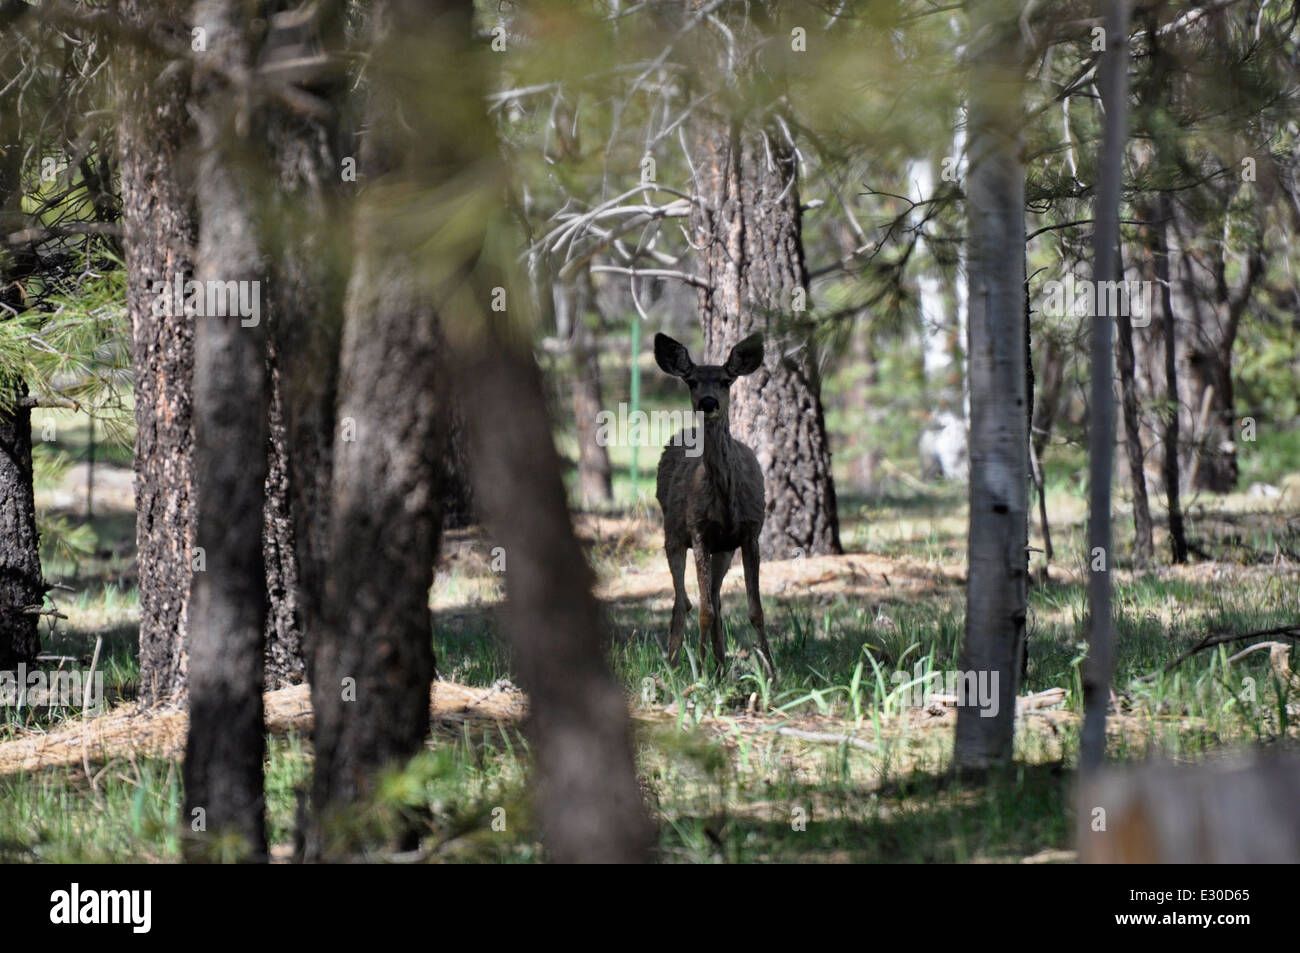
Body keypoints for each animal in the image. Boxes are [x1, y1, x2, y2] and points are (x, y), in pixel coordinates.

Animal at [654, 331, 775, 679]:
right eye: (692, 381)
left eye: (725, 380)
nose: (708, 402)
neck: (726, 497)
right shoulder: (699, 533)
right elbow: (704, 610)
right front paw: (702, 675)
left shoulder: (749, 534)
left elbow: (755, 610)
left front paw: (772, 674)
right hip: (674, 536)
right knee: (683, 601)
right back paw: (675, 669)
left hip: (724, 550)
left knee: (716, 600)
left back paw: (721, 667)